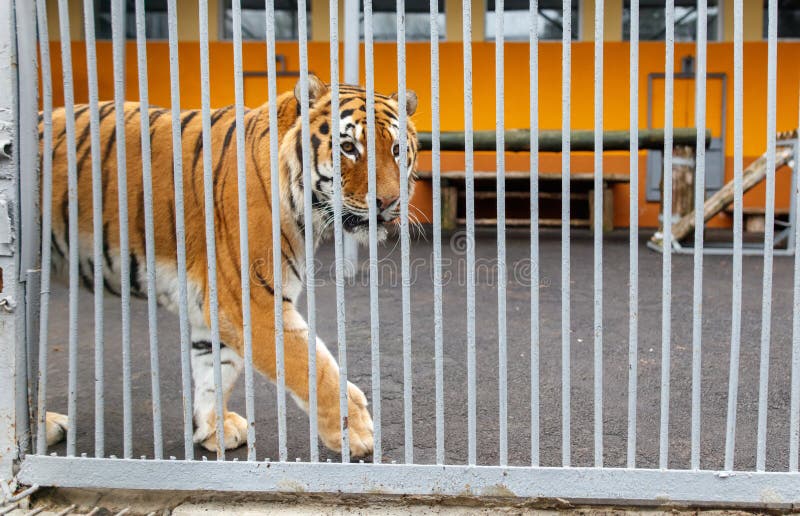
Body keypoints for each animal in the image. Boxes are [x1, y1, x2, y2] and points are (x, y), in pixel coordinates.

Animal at [41, 74, 419, 457]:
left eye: (396, 150)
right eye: (348, 148)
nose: (389, 201)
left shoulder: (217, 303)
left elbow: (215, 369)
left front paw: (215, 429)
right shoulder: (251, 300)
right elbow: (312, 365)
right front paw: (356, 432)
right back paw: (49, 425)